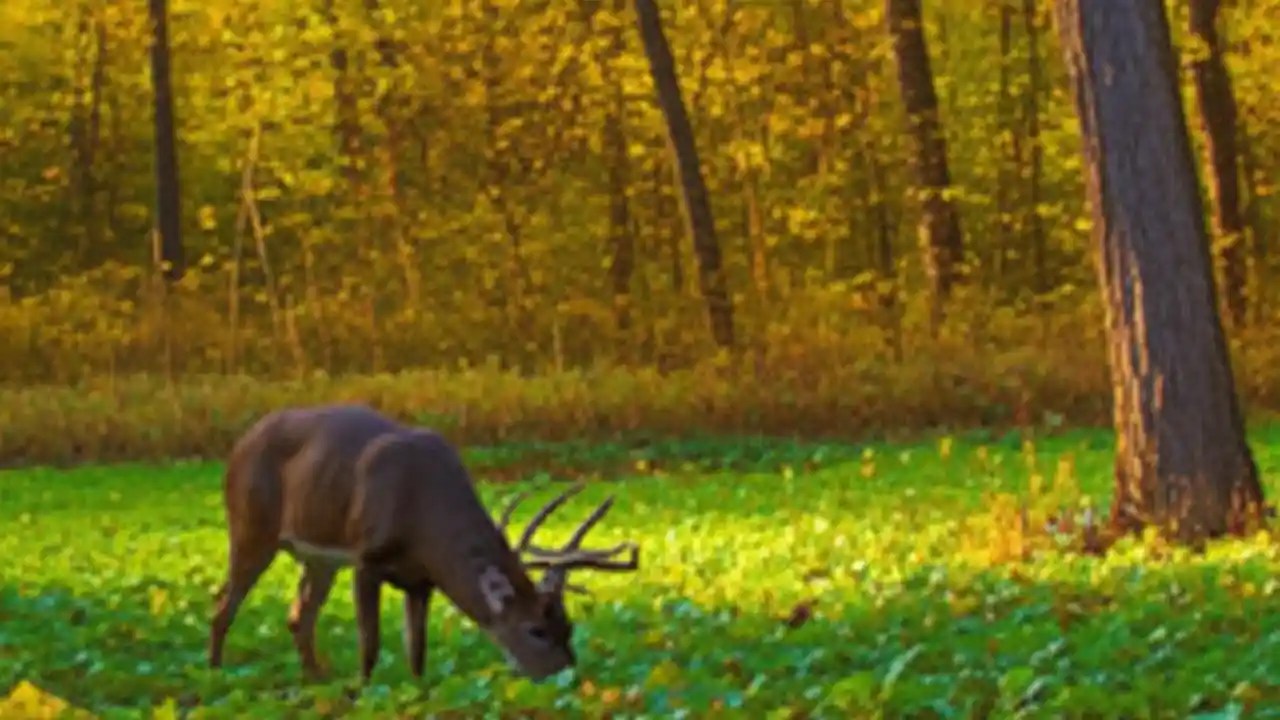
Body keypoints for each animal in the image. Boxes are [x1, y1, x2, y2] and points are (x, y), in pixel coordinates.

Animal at [207, 404, 640, 685]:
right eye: (535, 629)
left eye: (569, 626)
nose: (568, 675)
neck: (422, 512)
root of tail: (240, 444)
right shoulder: (365, 558)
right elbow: (370, 645)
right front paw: (363, 694)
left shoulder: (423, 579)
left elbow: (417, 652)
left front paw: (417, 694)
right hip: (250, 526)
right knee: (223, 603)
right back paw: (215, 674)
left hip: (320, 558)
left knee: (299, 615)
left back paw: (316, 679)